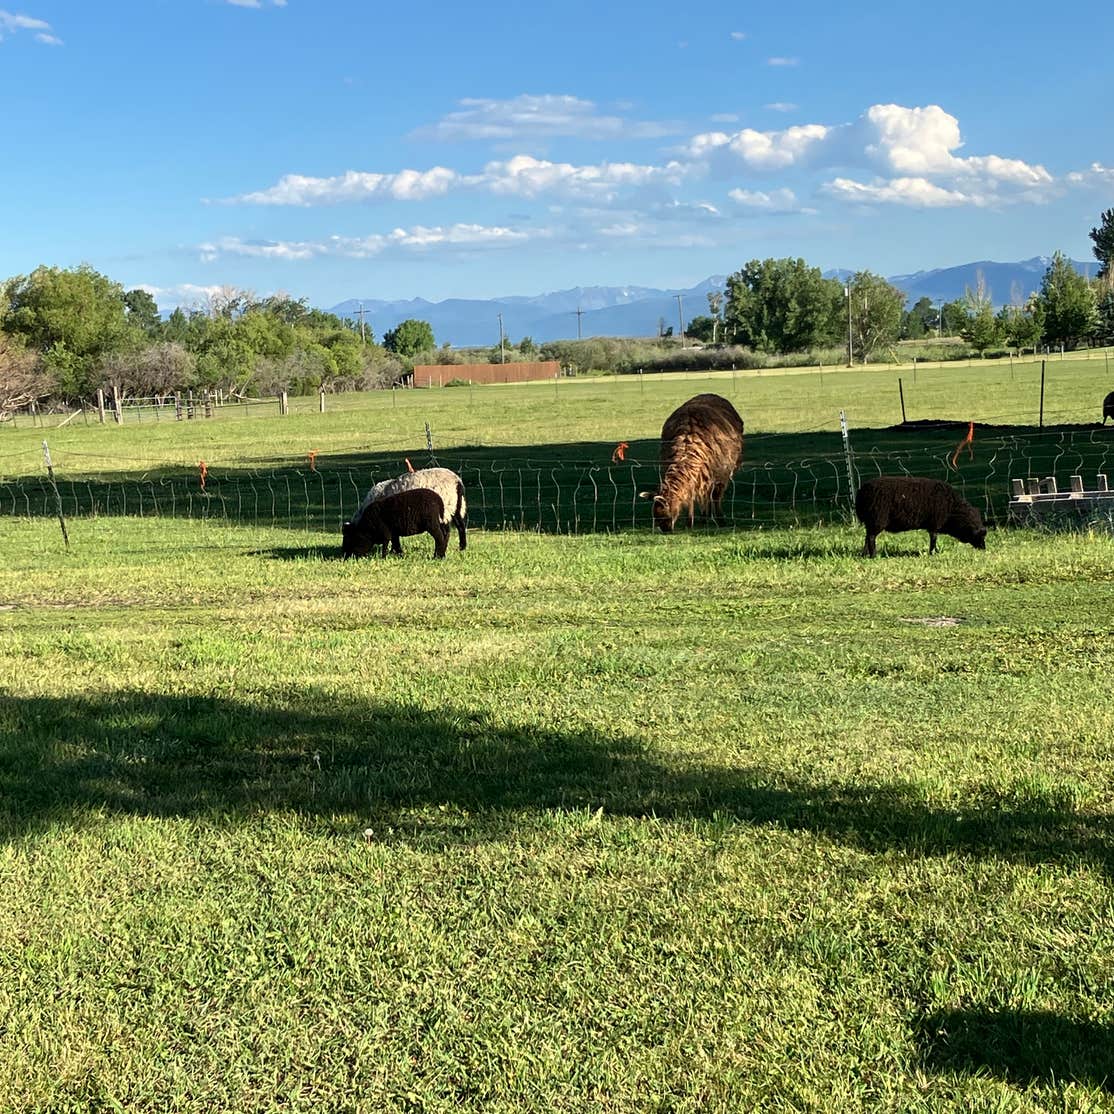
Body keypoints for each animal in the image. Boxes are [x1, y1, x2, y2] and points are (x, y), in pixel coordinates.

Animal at [639, 393, 745, 533]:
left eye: (665, 513)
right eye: (655, 516)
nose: (665, 529)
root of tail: (709, 394)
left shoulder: (721, 475)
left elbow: (715, 497)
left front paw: (721, 520)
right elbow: (691, 495)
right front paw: (690, 523)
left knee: (710, 494)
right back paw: (705, 516)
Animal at [855, 475, 987, 558]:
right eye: (979, 535)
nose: (984, 549)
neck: (952, 509)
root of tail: (861, 492)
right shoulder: (935, 523)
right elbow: (933, 539)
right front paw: (932, 553)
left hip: (871, 520)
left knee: (867, 537)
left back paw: (864, 554)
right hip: (878, 518)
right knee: (871, 538)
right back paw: (873, 555)